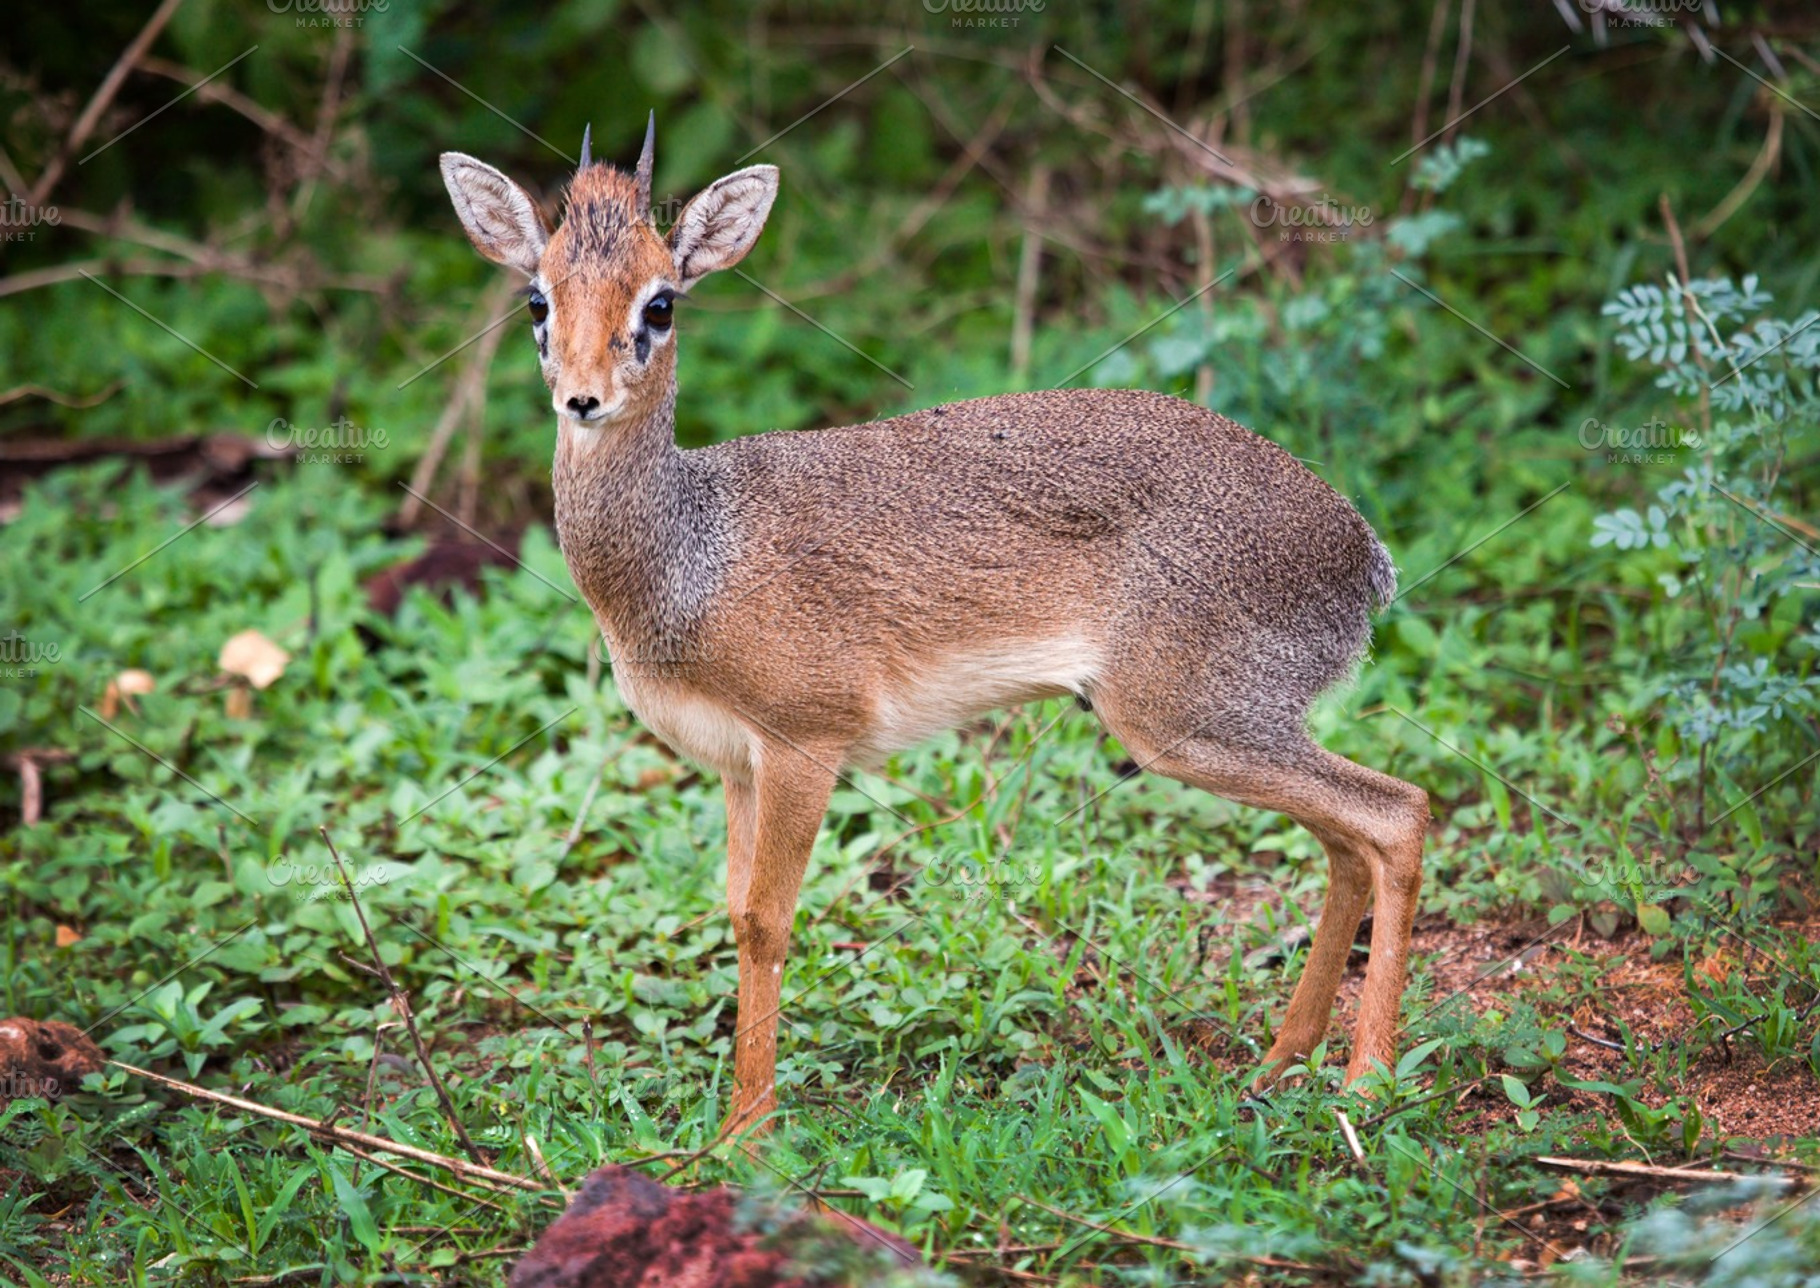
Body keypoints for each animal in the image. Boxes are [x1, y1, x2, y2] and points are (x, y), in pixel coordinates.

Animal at [439, 118, 1429, 1138]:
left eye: (661, 302)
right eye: (537, 298)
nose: (583, 397)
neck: (692, 555)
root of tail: (1363, 552)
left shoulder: (803, 745)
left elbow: (768, 922)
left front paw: (746, 1136)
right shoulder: (735, 764)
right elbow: (735, 914)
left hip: (1187, 724)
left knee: (1397, 814)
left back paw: (1366, 1082)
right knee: (1346, 843)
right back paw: (1282, 1062)